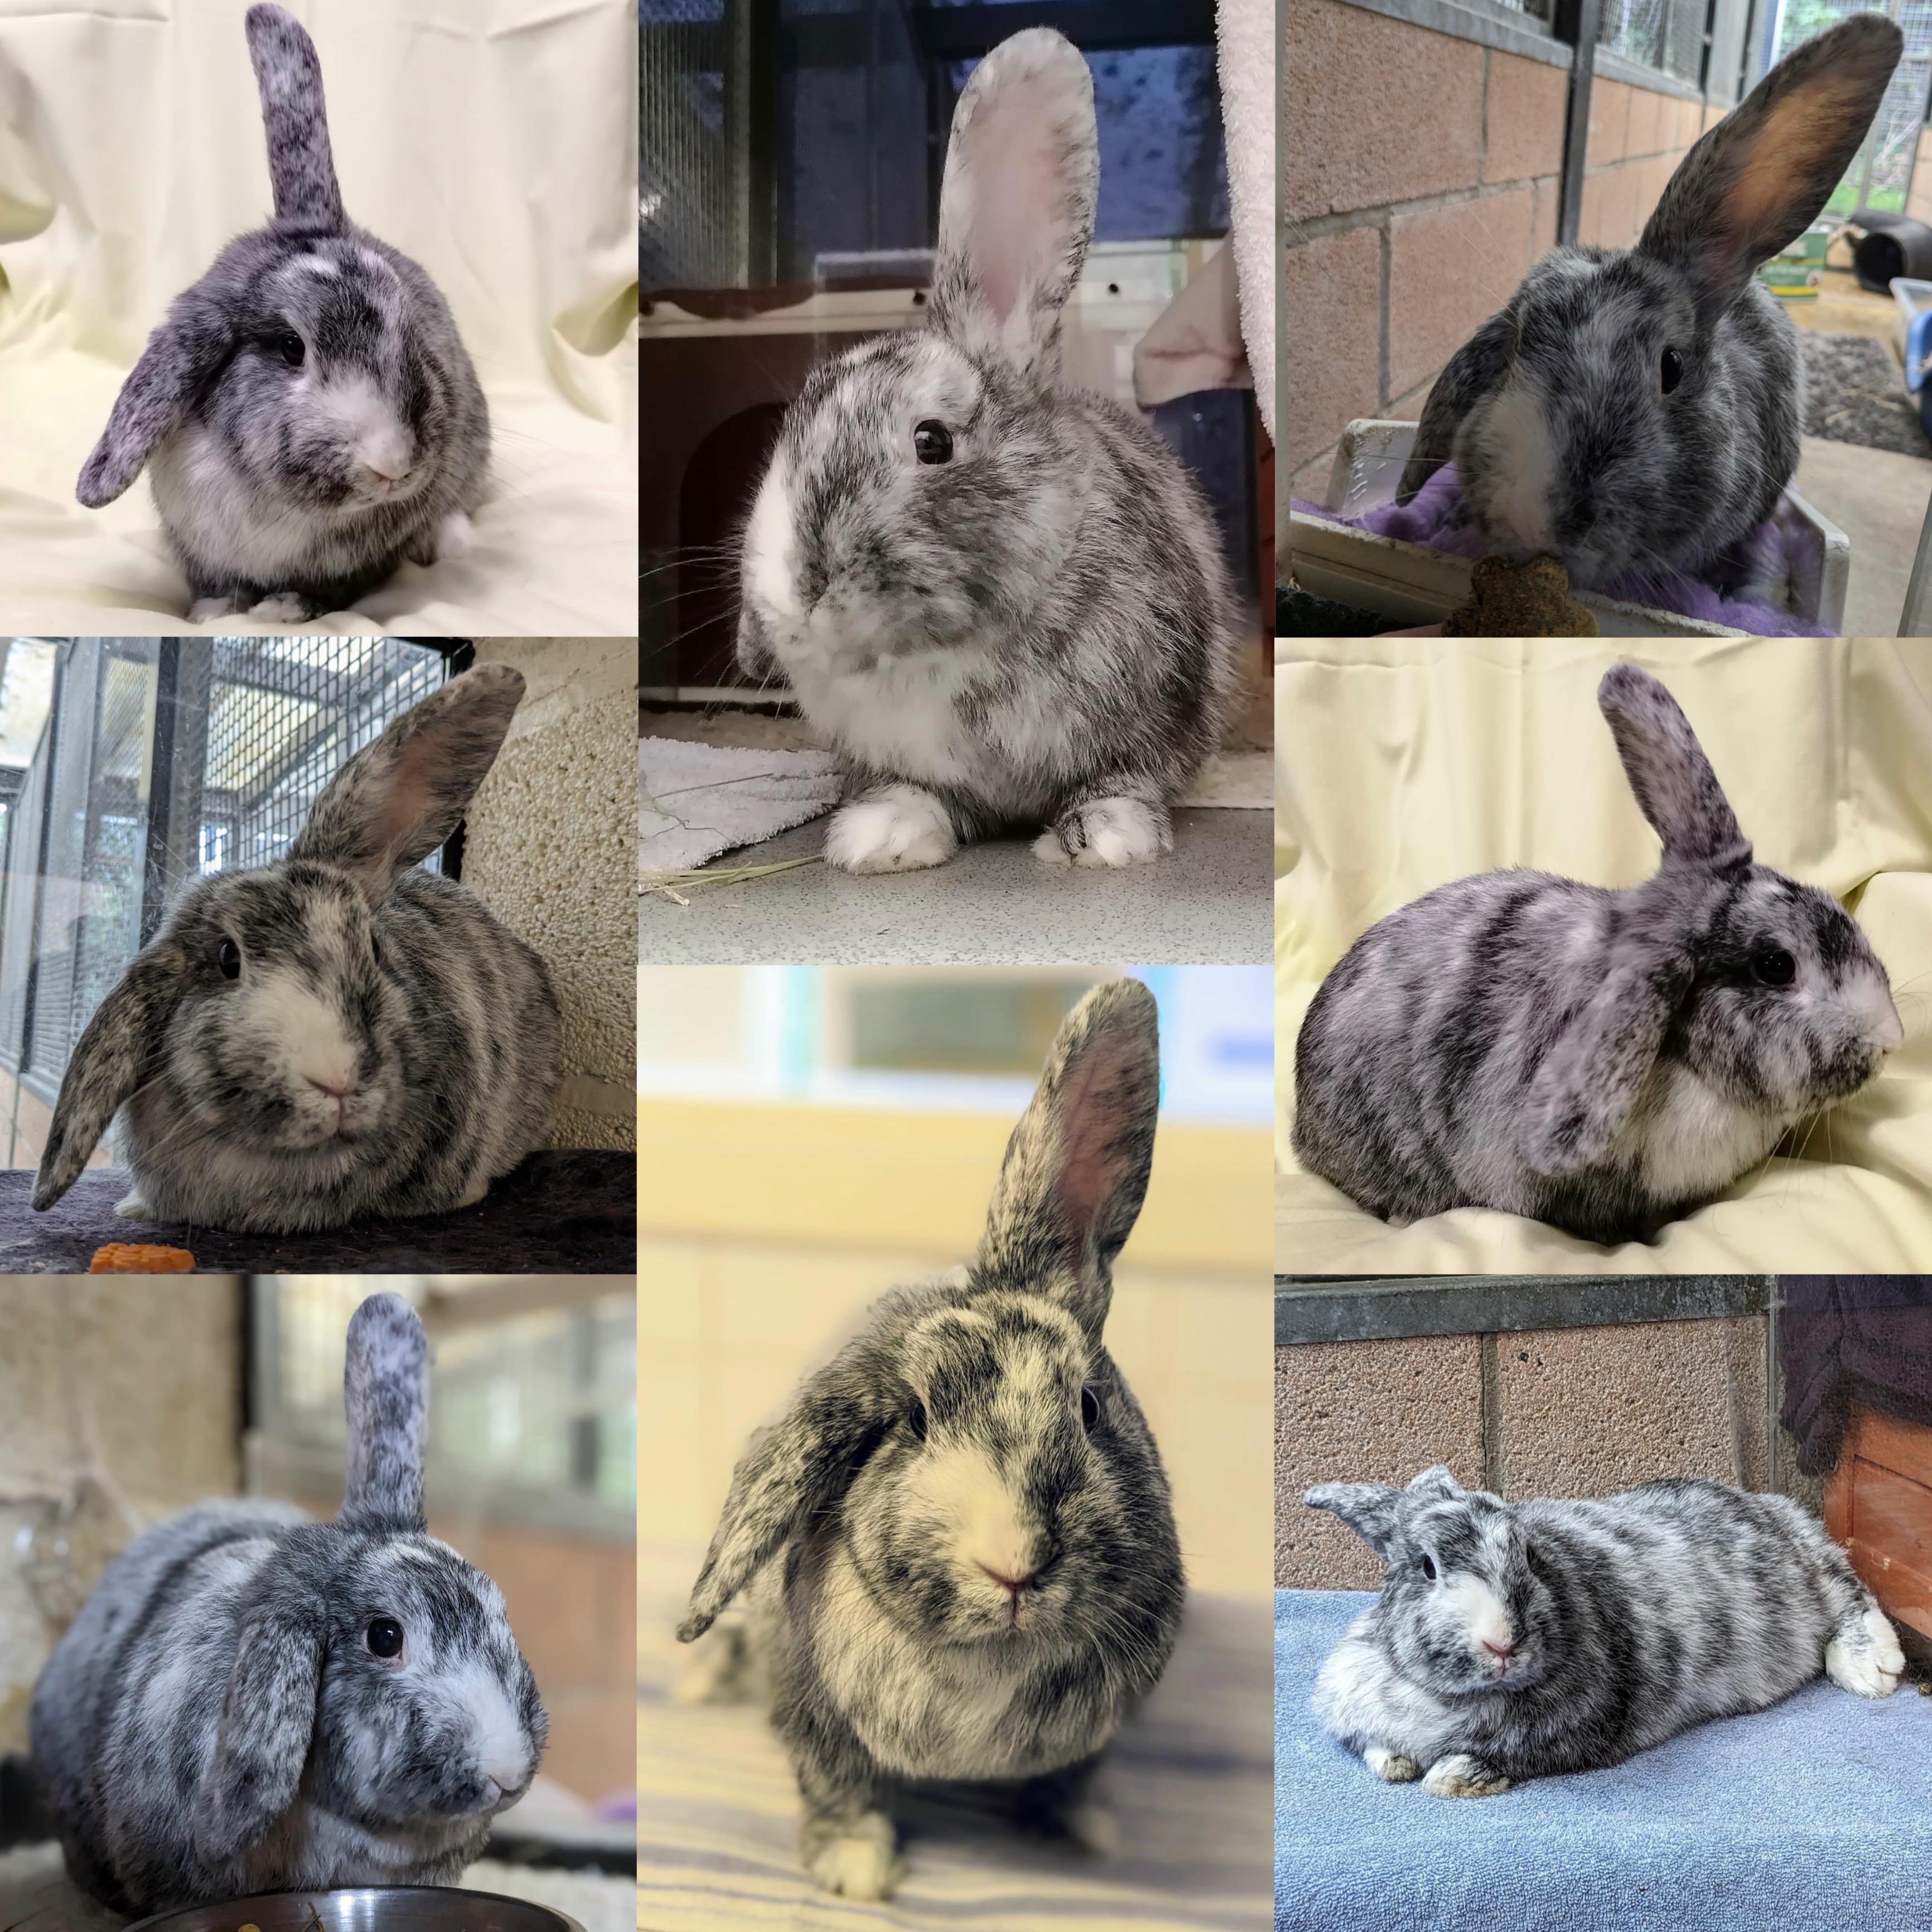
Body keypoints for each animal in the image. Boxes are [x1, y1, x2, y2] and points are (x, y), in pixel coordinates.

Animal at [75, 5, 490, 623]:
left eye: (411, 333)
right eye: (292, 347)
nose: (392, 464)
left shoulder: (358, 564)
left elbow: (334, 590)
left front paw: (282, 610)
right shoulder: (199, 544)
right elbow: (215, 584)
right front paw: (212, 613)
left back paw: (451, 542)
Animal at [677, 979, 1185, 1899]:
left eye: (1089, 1406)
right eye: (913, 1419)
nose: (1015, 1565)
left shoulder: (1095, 1739)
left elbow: (1073, 1776)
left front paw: (1085, 1834)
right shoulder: (813, 1722)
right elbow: (833, 1786)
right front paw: (857, 1871)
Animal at [733, 28, 1245, 874]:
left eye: (932, 441)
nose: (790, 600)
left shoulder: (1152, 719)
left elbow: (1124, 776)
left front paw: (1107, 841)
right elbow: (916, 793)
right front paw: (880, 838)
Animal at [1304, 1465, 1905, 1797]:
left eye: (1527, 1555)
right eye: (1426, 1567)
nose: (1502, 1642)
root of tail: (1772, 1505)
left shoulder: (1567, 1736)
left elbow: (1475, 1762)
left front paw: (1451, 1779)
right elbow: (1377, 1751)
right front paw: (1397, 1764)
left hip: (1812, 1581)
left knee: (1852, 1597)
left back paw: (1872, 1673)